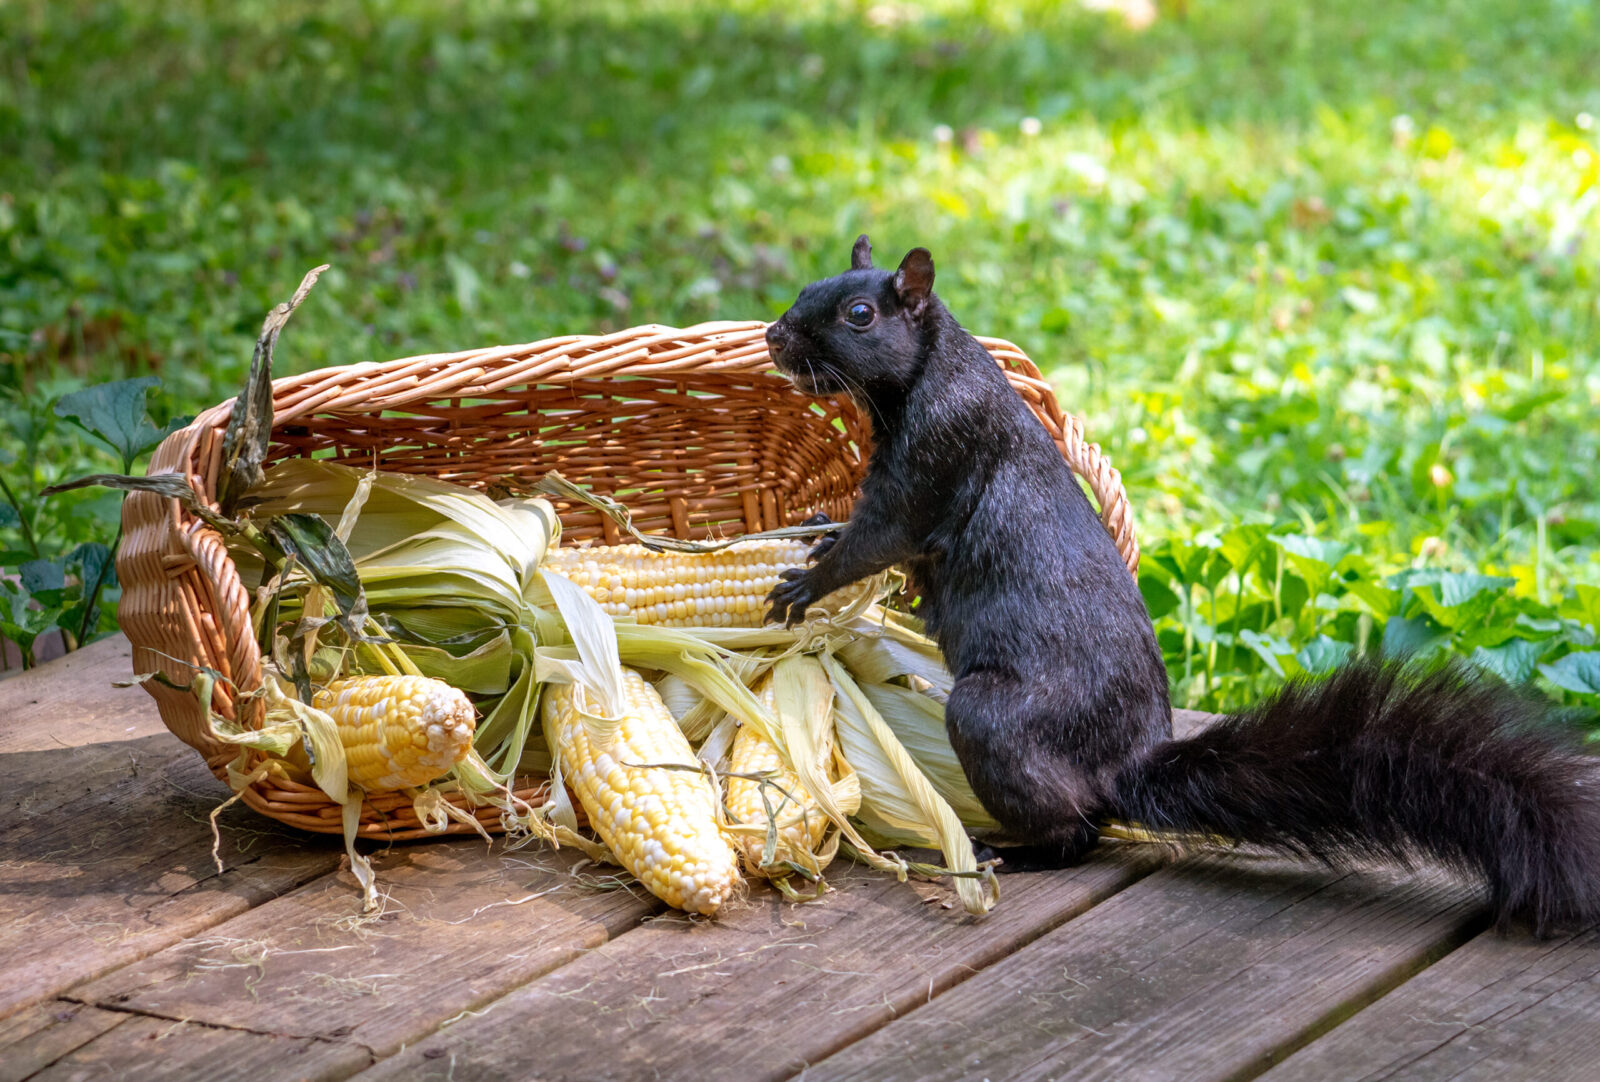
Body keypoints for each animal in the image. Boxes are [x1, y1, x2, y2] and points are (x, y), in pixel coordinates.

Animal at [762, 234, 1600, 932]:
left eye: (861, 314)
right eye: (806, 285)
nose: (775, 335)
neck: (931, 369)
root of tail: (1122, 767)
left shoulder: (936, 456)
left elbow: (880, 537)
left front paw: (803, 586)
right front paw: (815, 534)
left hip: (995, 720)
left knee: (1080, 828)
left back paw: (1018, 848)